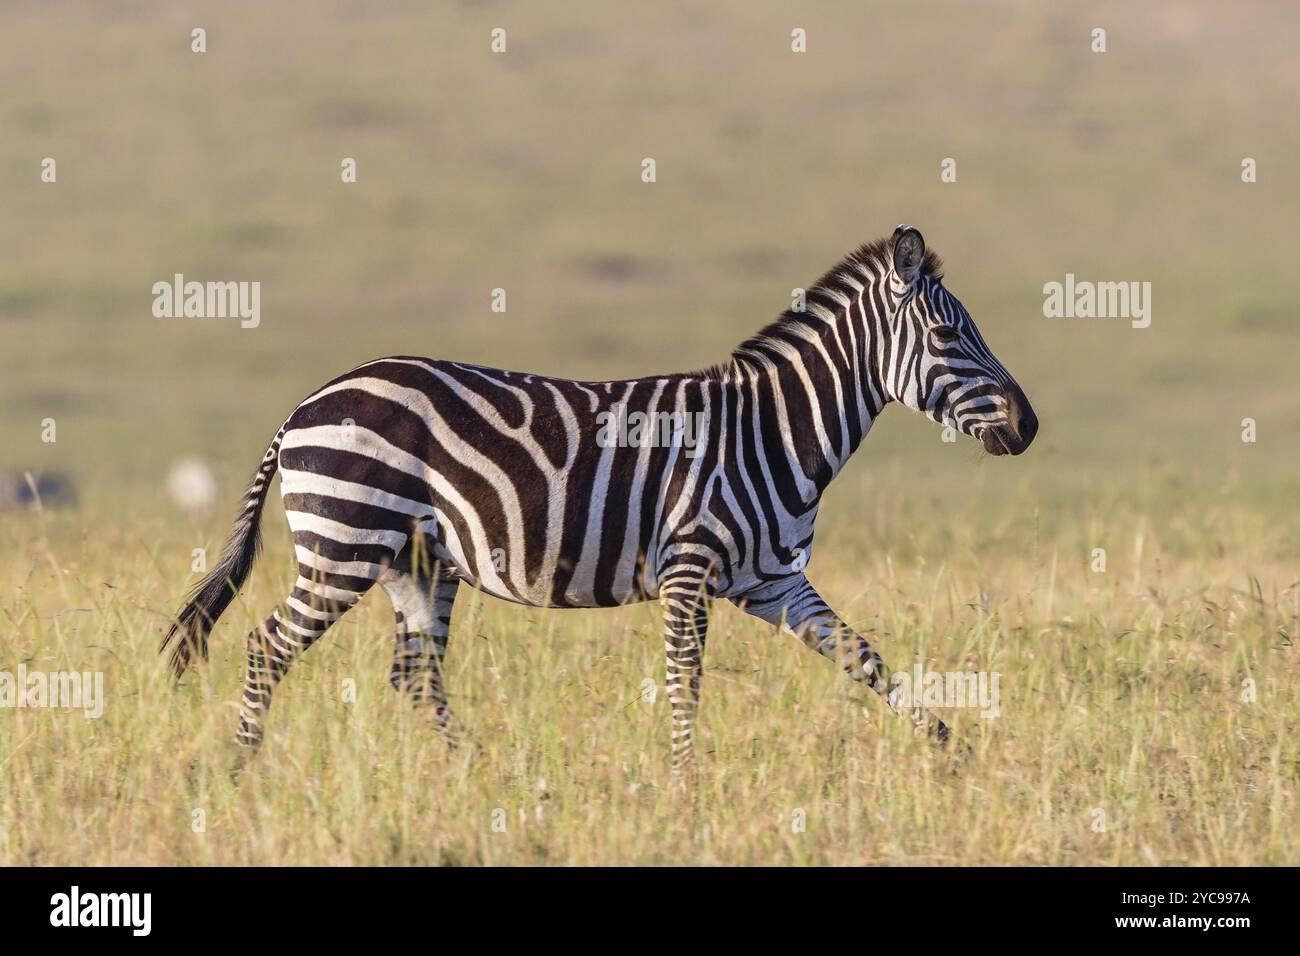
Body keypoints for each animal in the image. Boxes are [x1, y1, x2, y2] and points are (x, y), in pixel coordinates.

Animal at [162, 225, 1037, 775]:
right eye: (949, 336)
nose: (1029, 426)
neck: (772, 432)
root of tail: (304, 405)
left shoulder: (773, 580)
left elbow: (867, 659)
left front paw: (956, 752)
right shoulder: (690, 567)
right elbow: (686, 679)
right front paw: (687, 782)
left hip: (418, 563)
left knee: (414, 676)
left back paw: (475, 776)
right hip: (345, 544)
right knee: (267, 648)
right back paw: (238, 771)